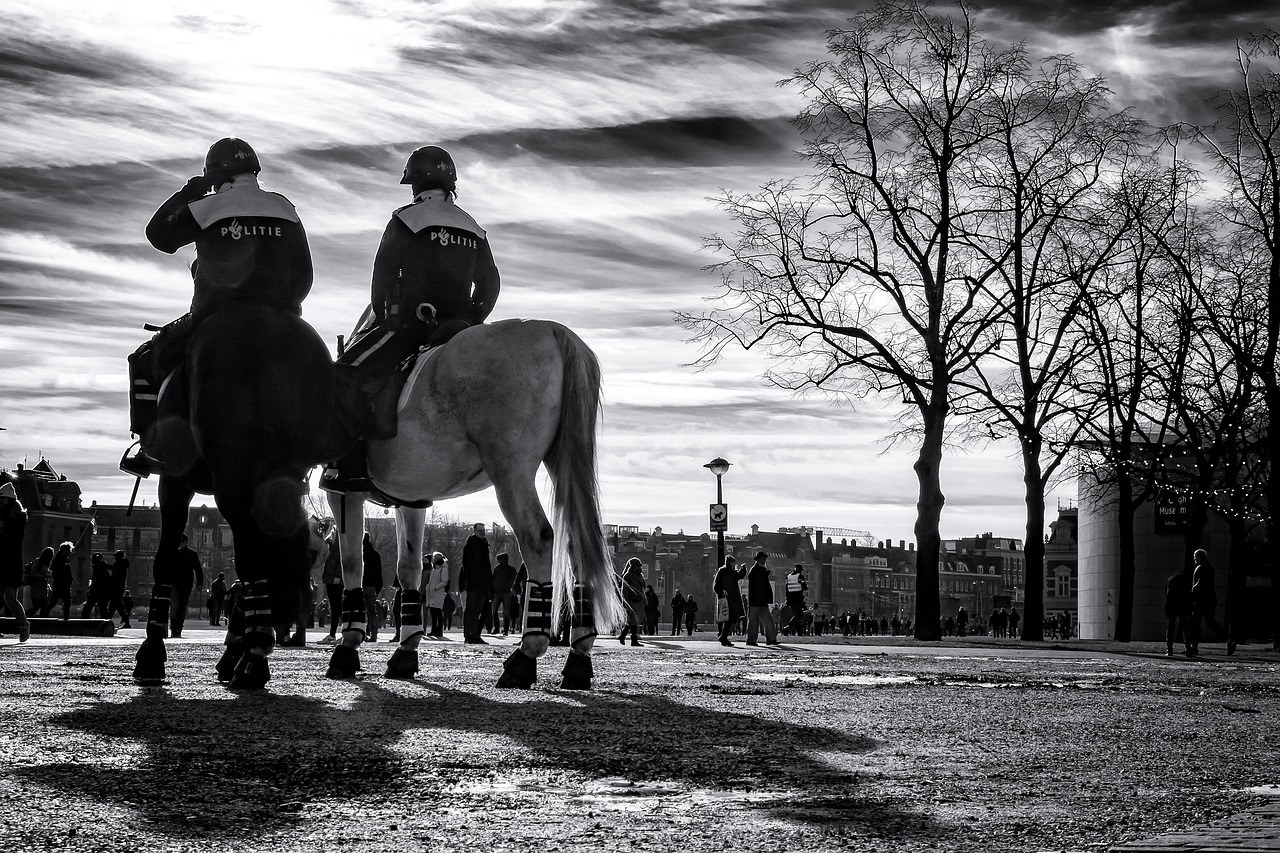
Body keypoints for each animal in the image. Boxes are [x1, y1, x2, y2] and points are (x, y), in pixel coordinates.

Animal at [132, 303, 358, 689]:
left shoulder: (174, 480)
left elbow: (166, 559)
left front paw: (152, 652)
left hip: (232, 477)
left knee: (254, 559)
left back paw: (255, 655)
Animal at [324, 318, 624, 689]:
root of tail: (554, 330)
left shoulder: (343, 493)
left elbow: (353, 563)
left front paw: (348, 647)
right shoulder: (411, 499)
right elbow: (408, 567)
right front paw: (406, 650)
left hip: (510, 469)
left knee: (538, 537)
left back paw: (525, 655)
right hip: (560, 461)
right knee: (577, 541)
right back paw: (579, 654)